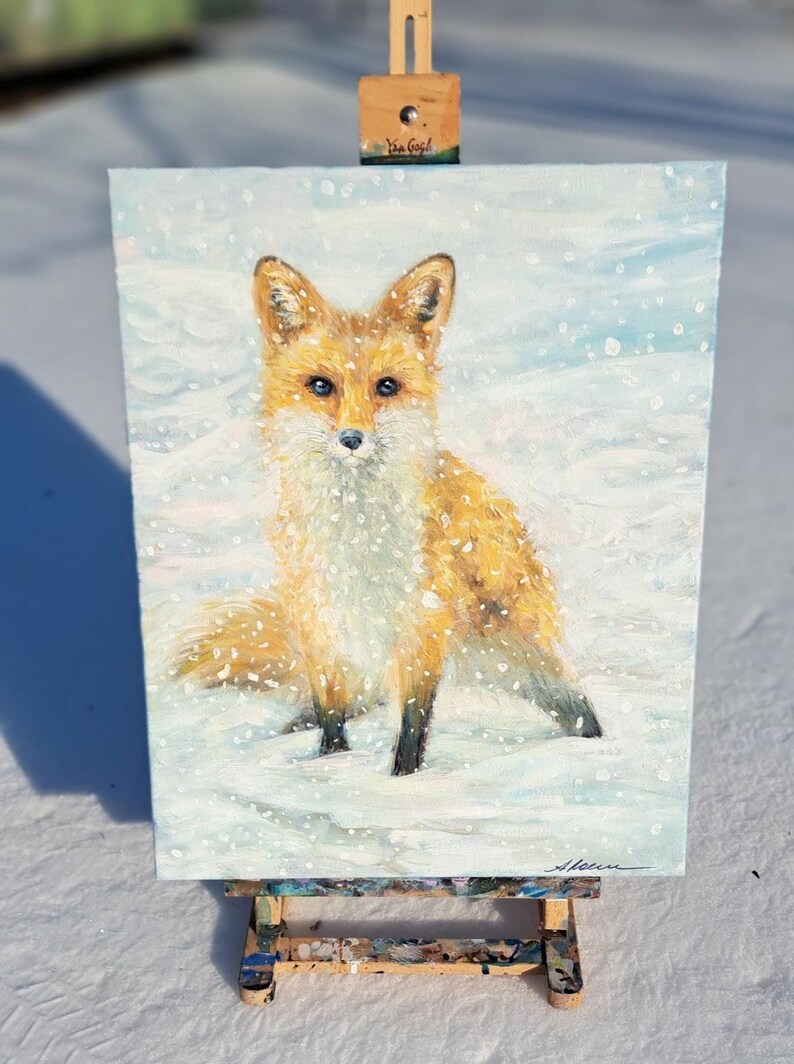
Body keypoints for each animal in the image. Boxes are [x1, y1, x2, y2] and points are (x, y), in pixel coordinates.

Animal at [176, 252, 602, 775]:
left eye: (386, 386)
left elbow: (412, 727)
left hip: (523, 656)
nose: (352, 439)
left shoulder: (421, 628)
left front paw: (401, 783)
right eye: (321, 386)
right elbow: (332, 718)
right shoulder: (320, 626)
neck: (358, 536)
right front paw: (328, 766)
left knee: (579, 708)